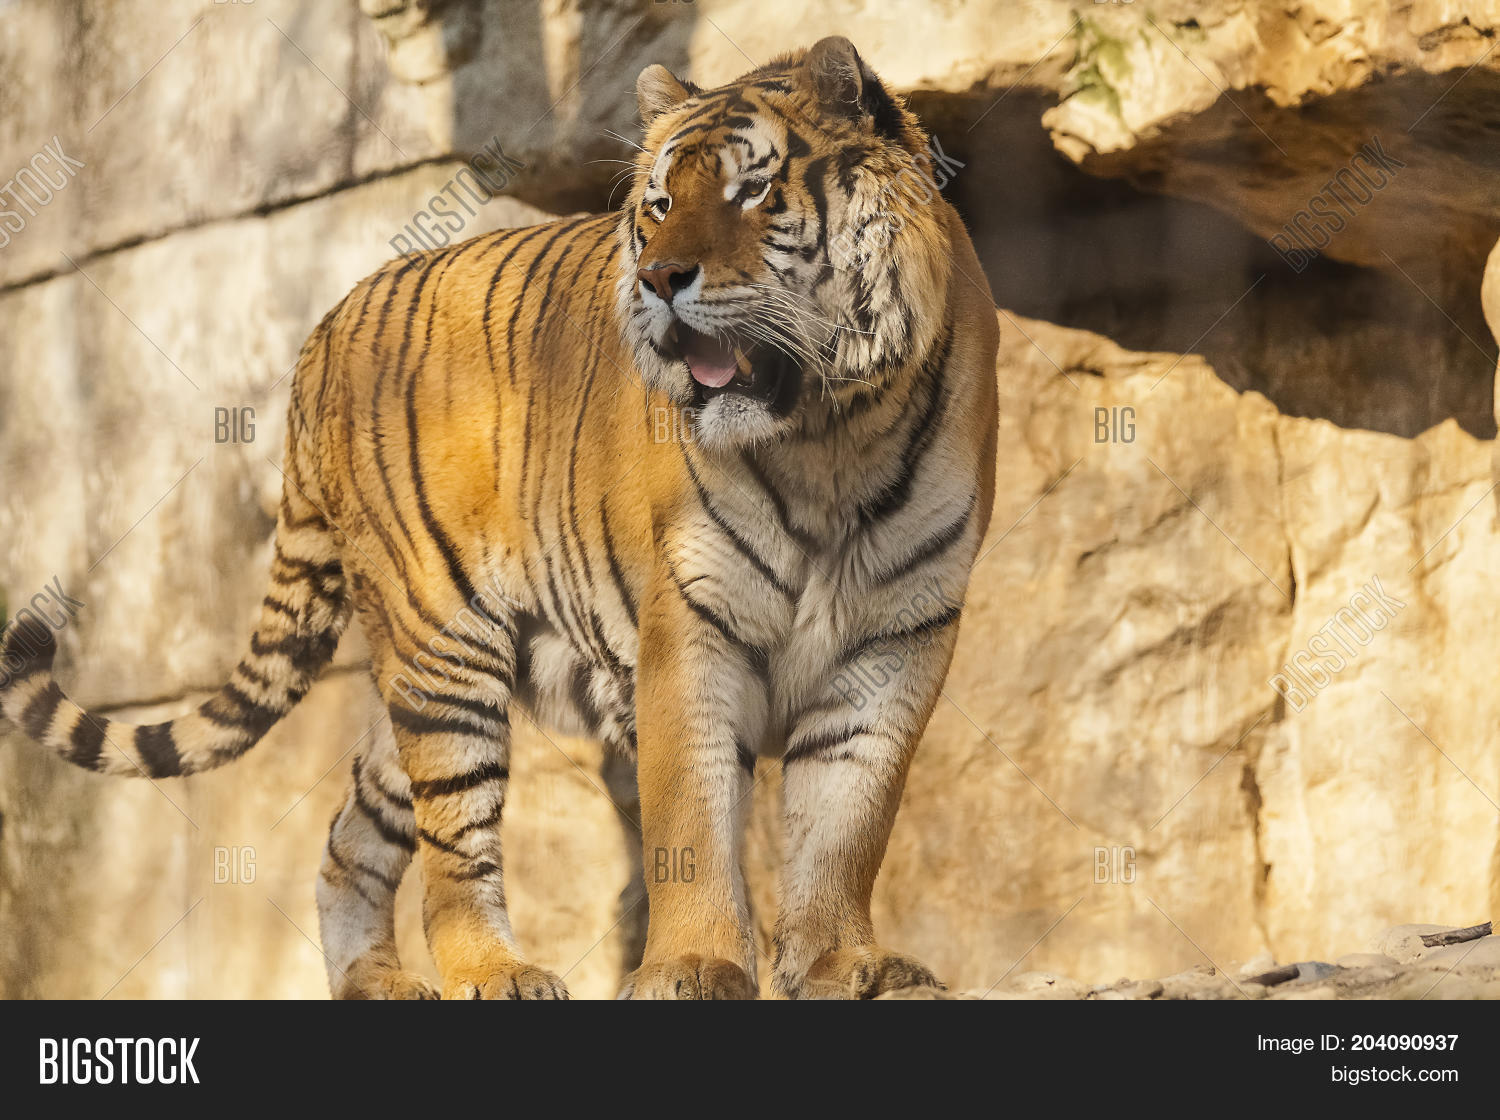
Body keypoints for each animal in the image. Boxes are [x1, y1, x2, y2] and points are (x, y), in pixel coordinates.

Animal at [0, 36, 998, 1000]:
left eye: (751, 190)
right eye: (660, 202)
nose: (660, 277)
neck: (832, 437)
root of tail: (324, 329)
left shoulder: (898, 638)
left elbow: (847, 824)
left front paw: (846, 965)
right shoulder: (691, 630)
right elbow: (693, 824)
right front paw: (693, 968)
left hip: (407, 685)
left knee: (349, 839)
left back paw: (376, 985)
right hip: (444, 654)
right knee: (452, 857)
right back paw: (494, 974)